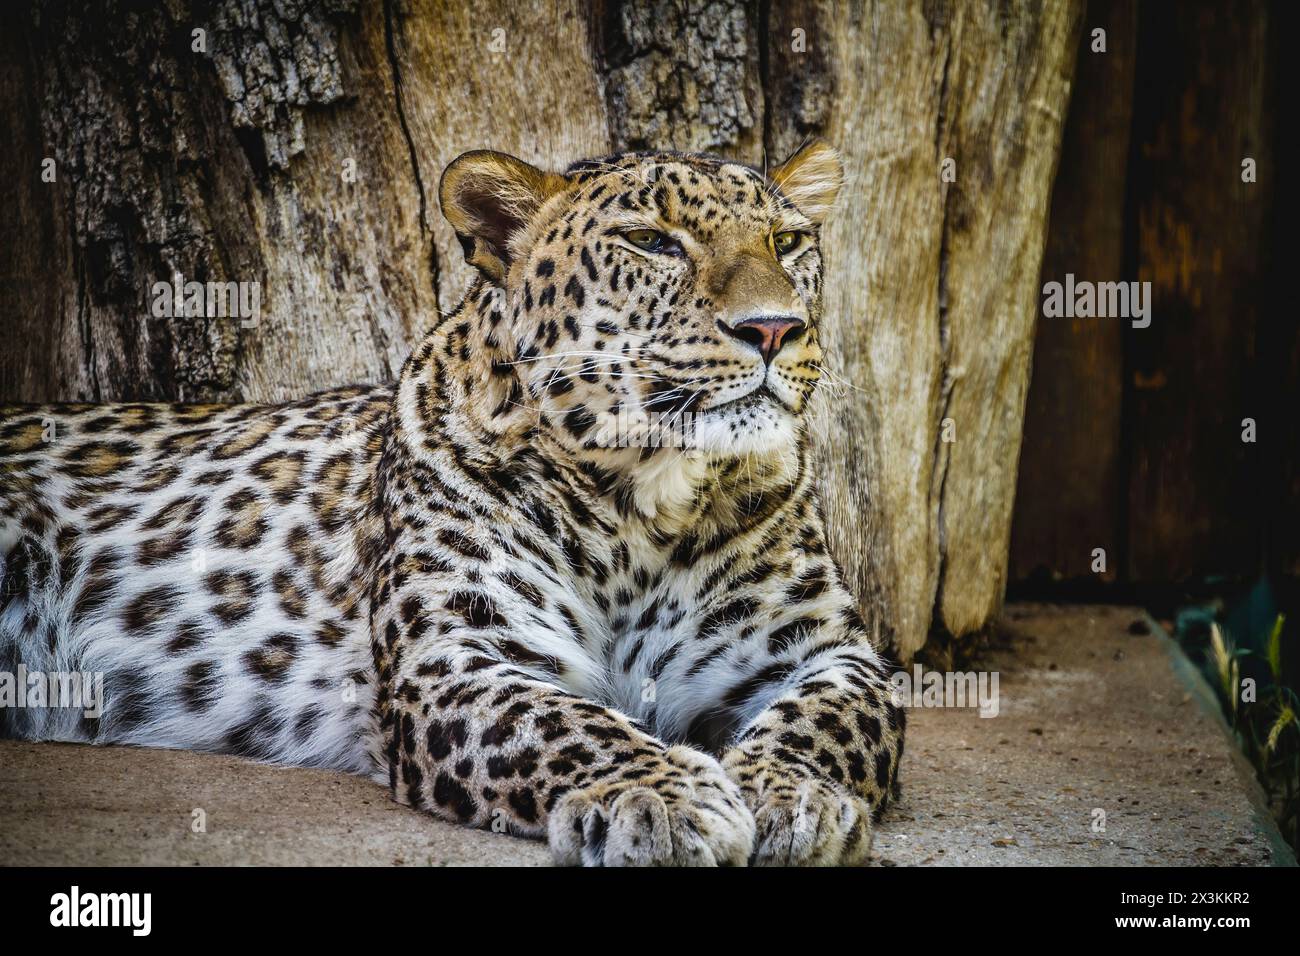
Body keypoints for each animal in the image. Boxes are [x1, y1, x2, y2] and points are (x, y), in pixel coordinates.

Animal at [0, 141, 904, 866]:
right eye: (652, 241)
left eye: (788, 242)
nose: (775, 329)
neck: (643, 505)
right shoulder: (458, 658)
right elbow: (566, 722)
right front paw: (664, 798)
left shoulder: (825, 652)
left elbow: (827, 720)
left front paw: (790, 794)